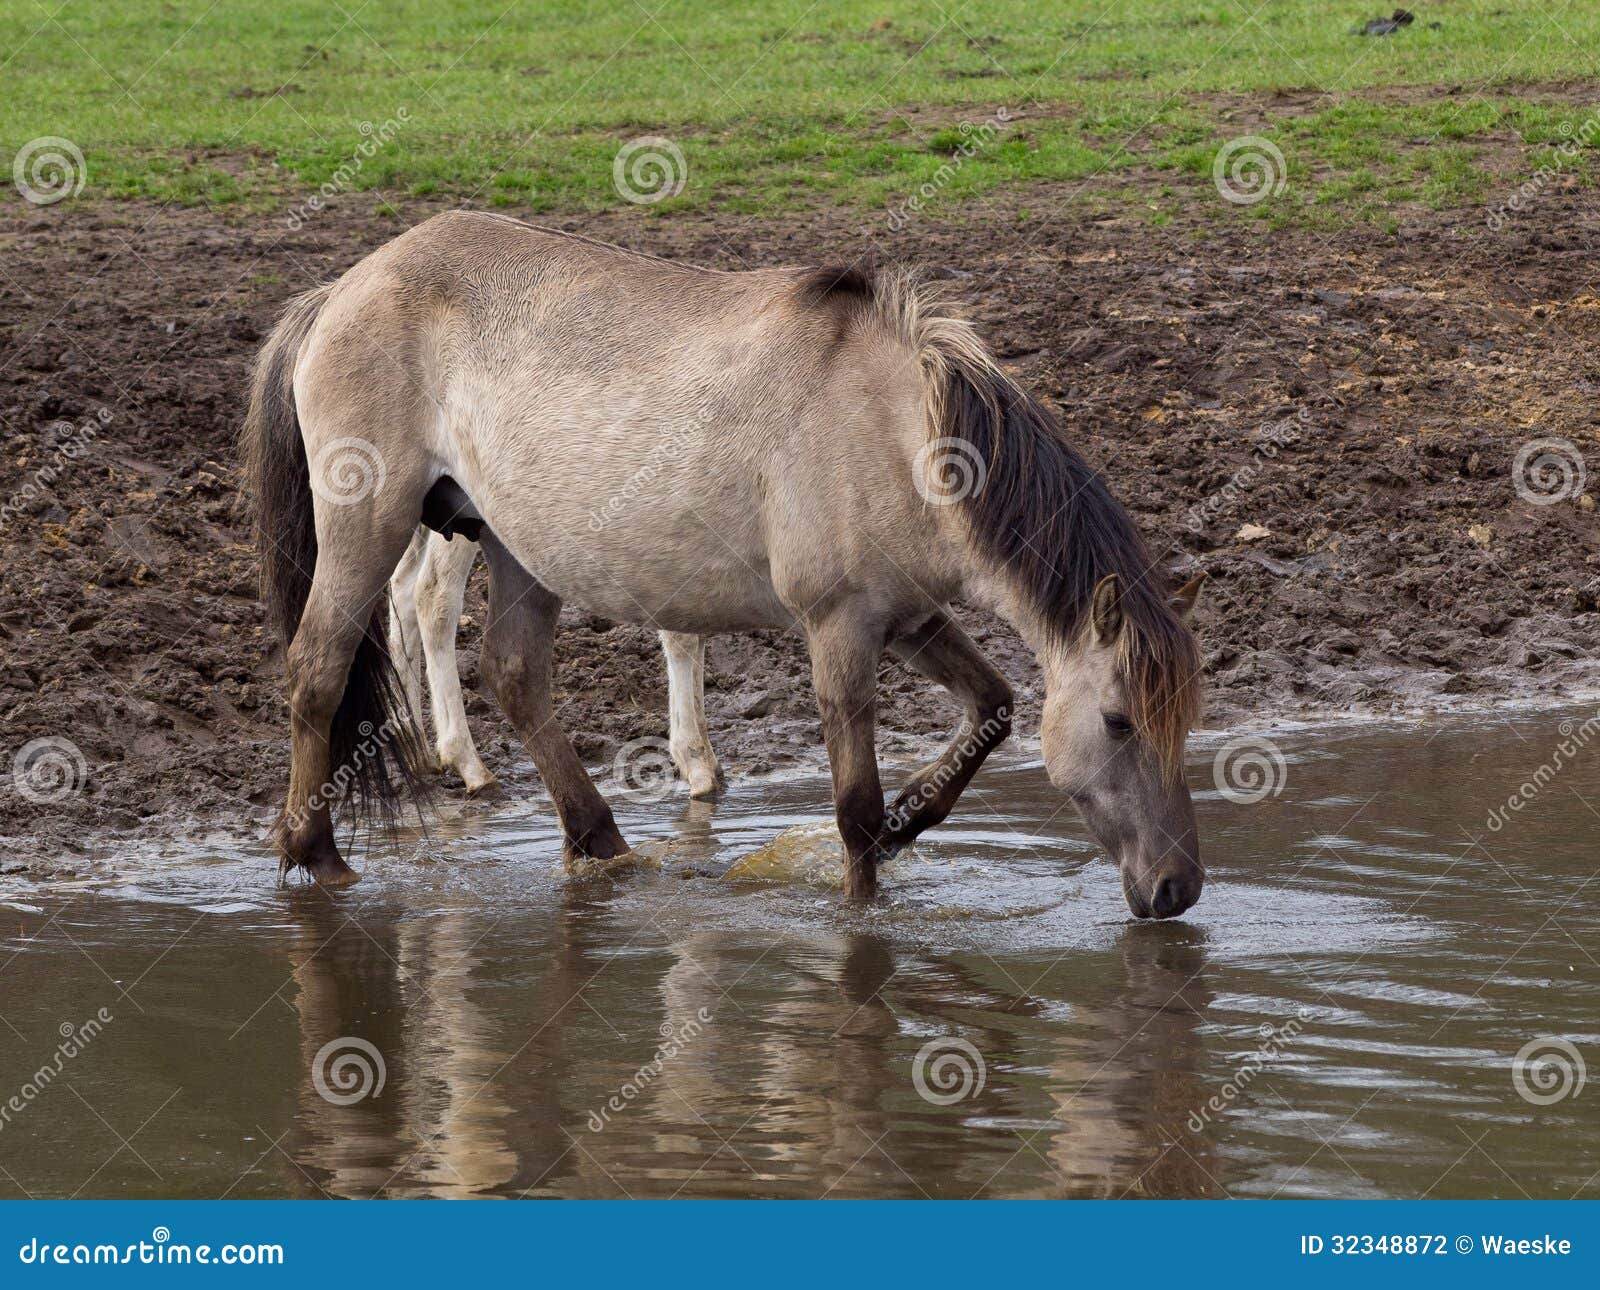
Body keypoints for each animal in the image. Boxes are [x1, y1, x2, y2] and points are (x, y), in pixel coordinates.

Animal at [386, 529, 723, 799]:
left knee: (402, 587)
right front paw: (696, 765)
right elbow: (681, 629)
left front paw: (708, 758)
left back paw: (413, 746)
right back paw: (470, 766)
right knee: (433, 594)